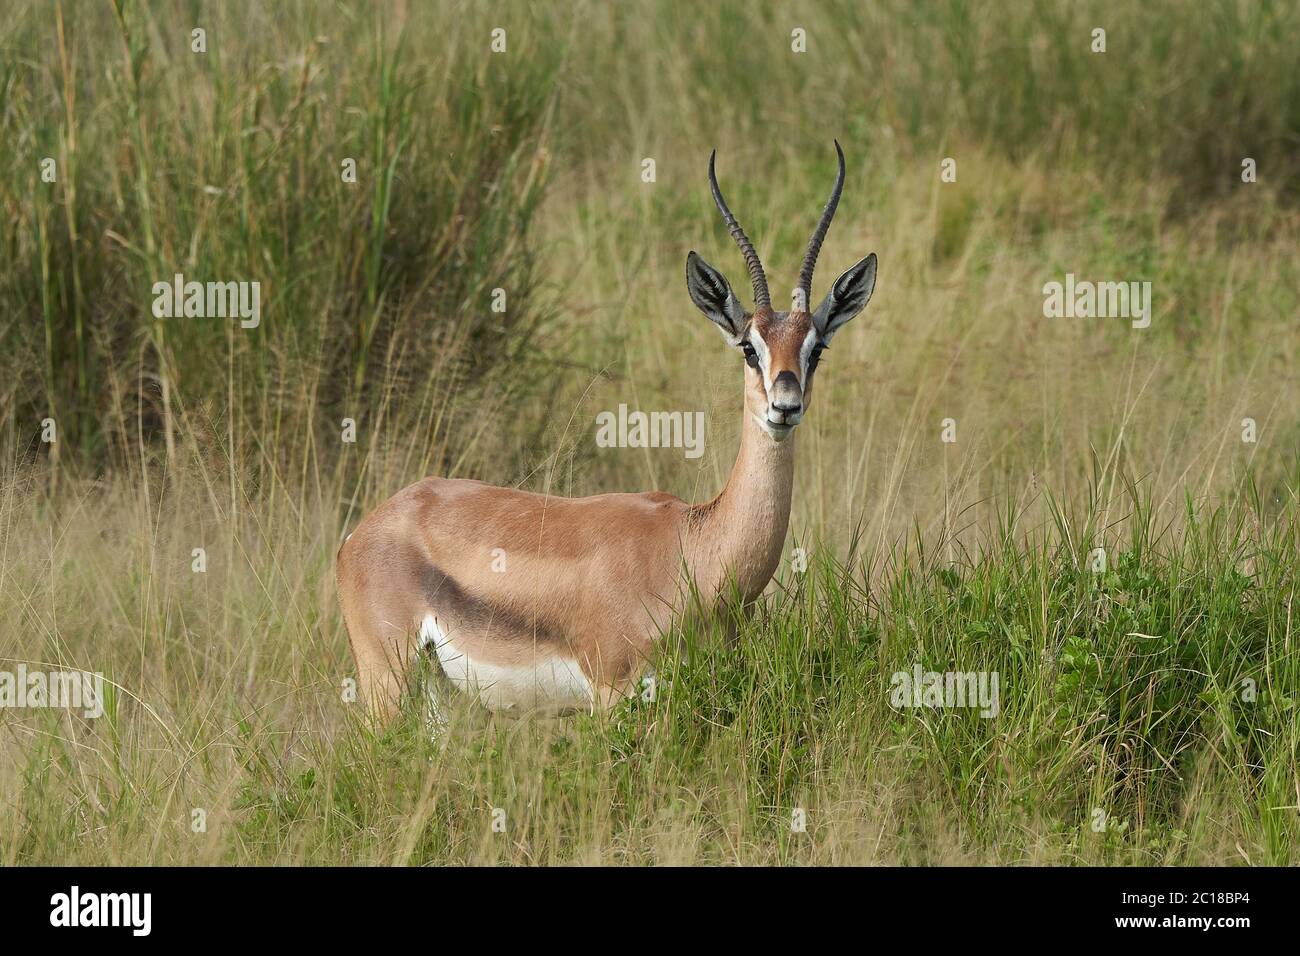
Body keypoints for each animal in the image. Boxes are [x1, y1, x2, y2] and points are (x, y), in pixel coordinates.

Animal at [337, 142, 877, 723]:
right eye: (749, 348)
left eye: (815, 349)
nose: (785, 406)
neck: (693, 545)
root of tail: (363, 530)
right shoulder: (613, 692)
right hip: (386, 684)